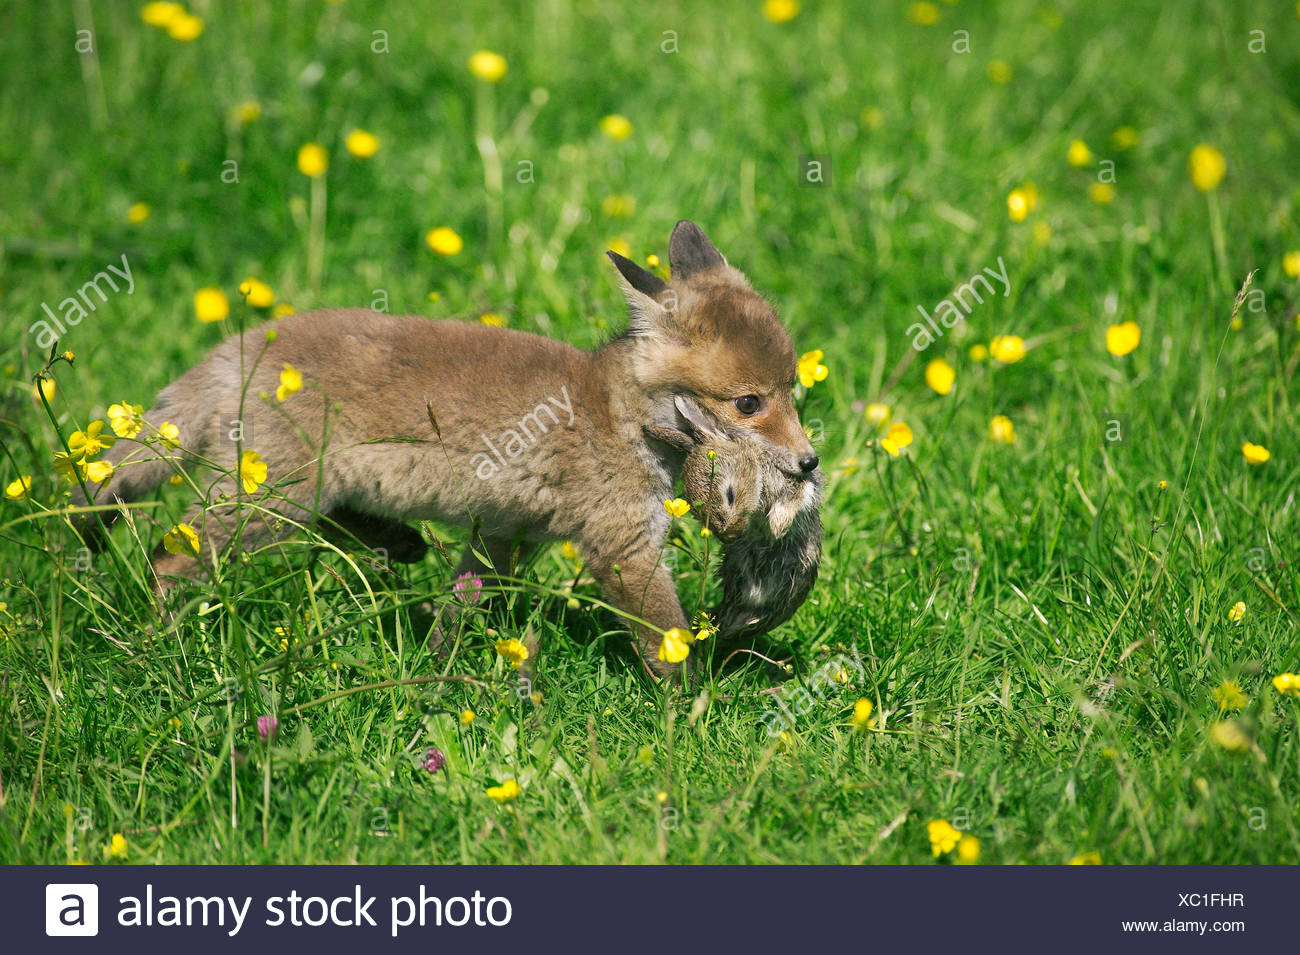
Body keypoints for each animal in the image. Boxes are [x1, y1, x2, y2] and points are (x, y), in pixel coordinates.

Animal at [72, 221, 820, 676]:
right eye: (748, 404)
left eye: (792, 391)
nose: (809, 463)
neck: (620, 414)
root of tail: (239, 348)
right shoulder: (624, 547)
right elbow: (669, 645)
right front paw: (691, 717)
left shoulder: (503, 533)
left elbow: (462, 605)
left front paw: (435, 672)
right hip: (274, 500)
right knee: (173, 552)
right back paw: (157, 642)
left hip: (300, 491)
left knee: (333, 522)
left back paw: (396, 542)